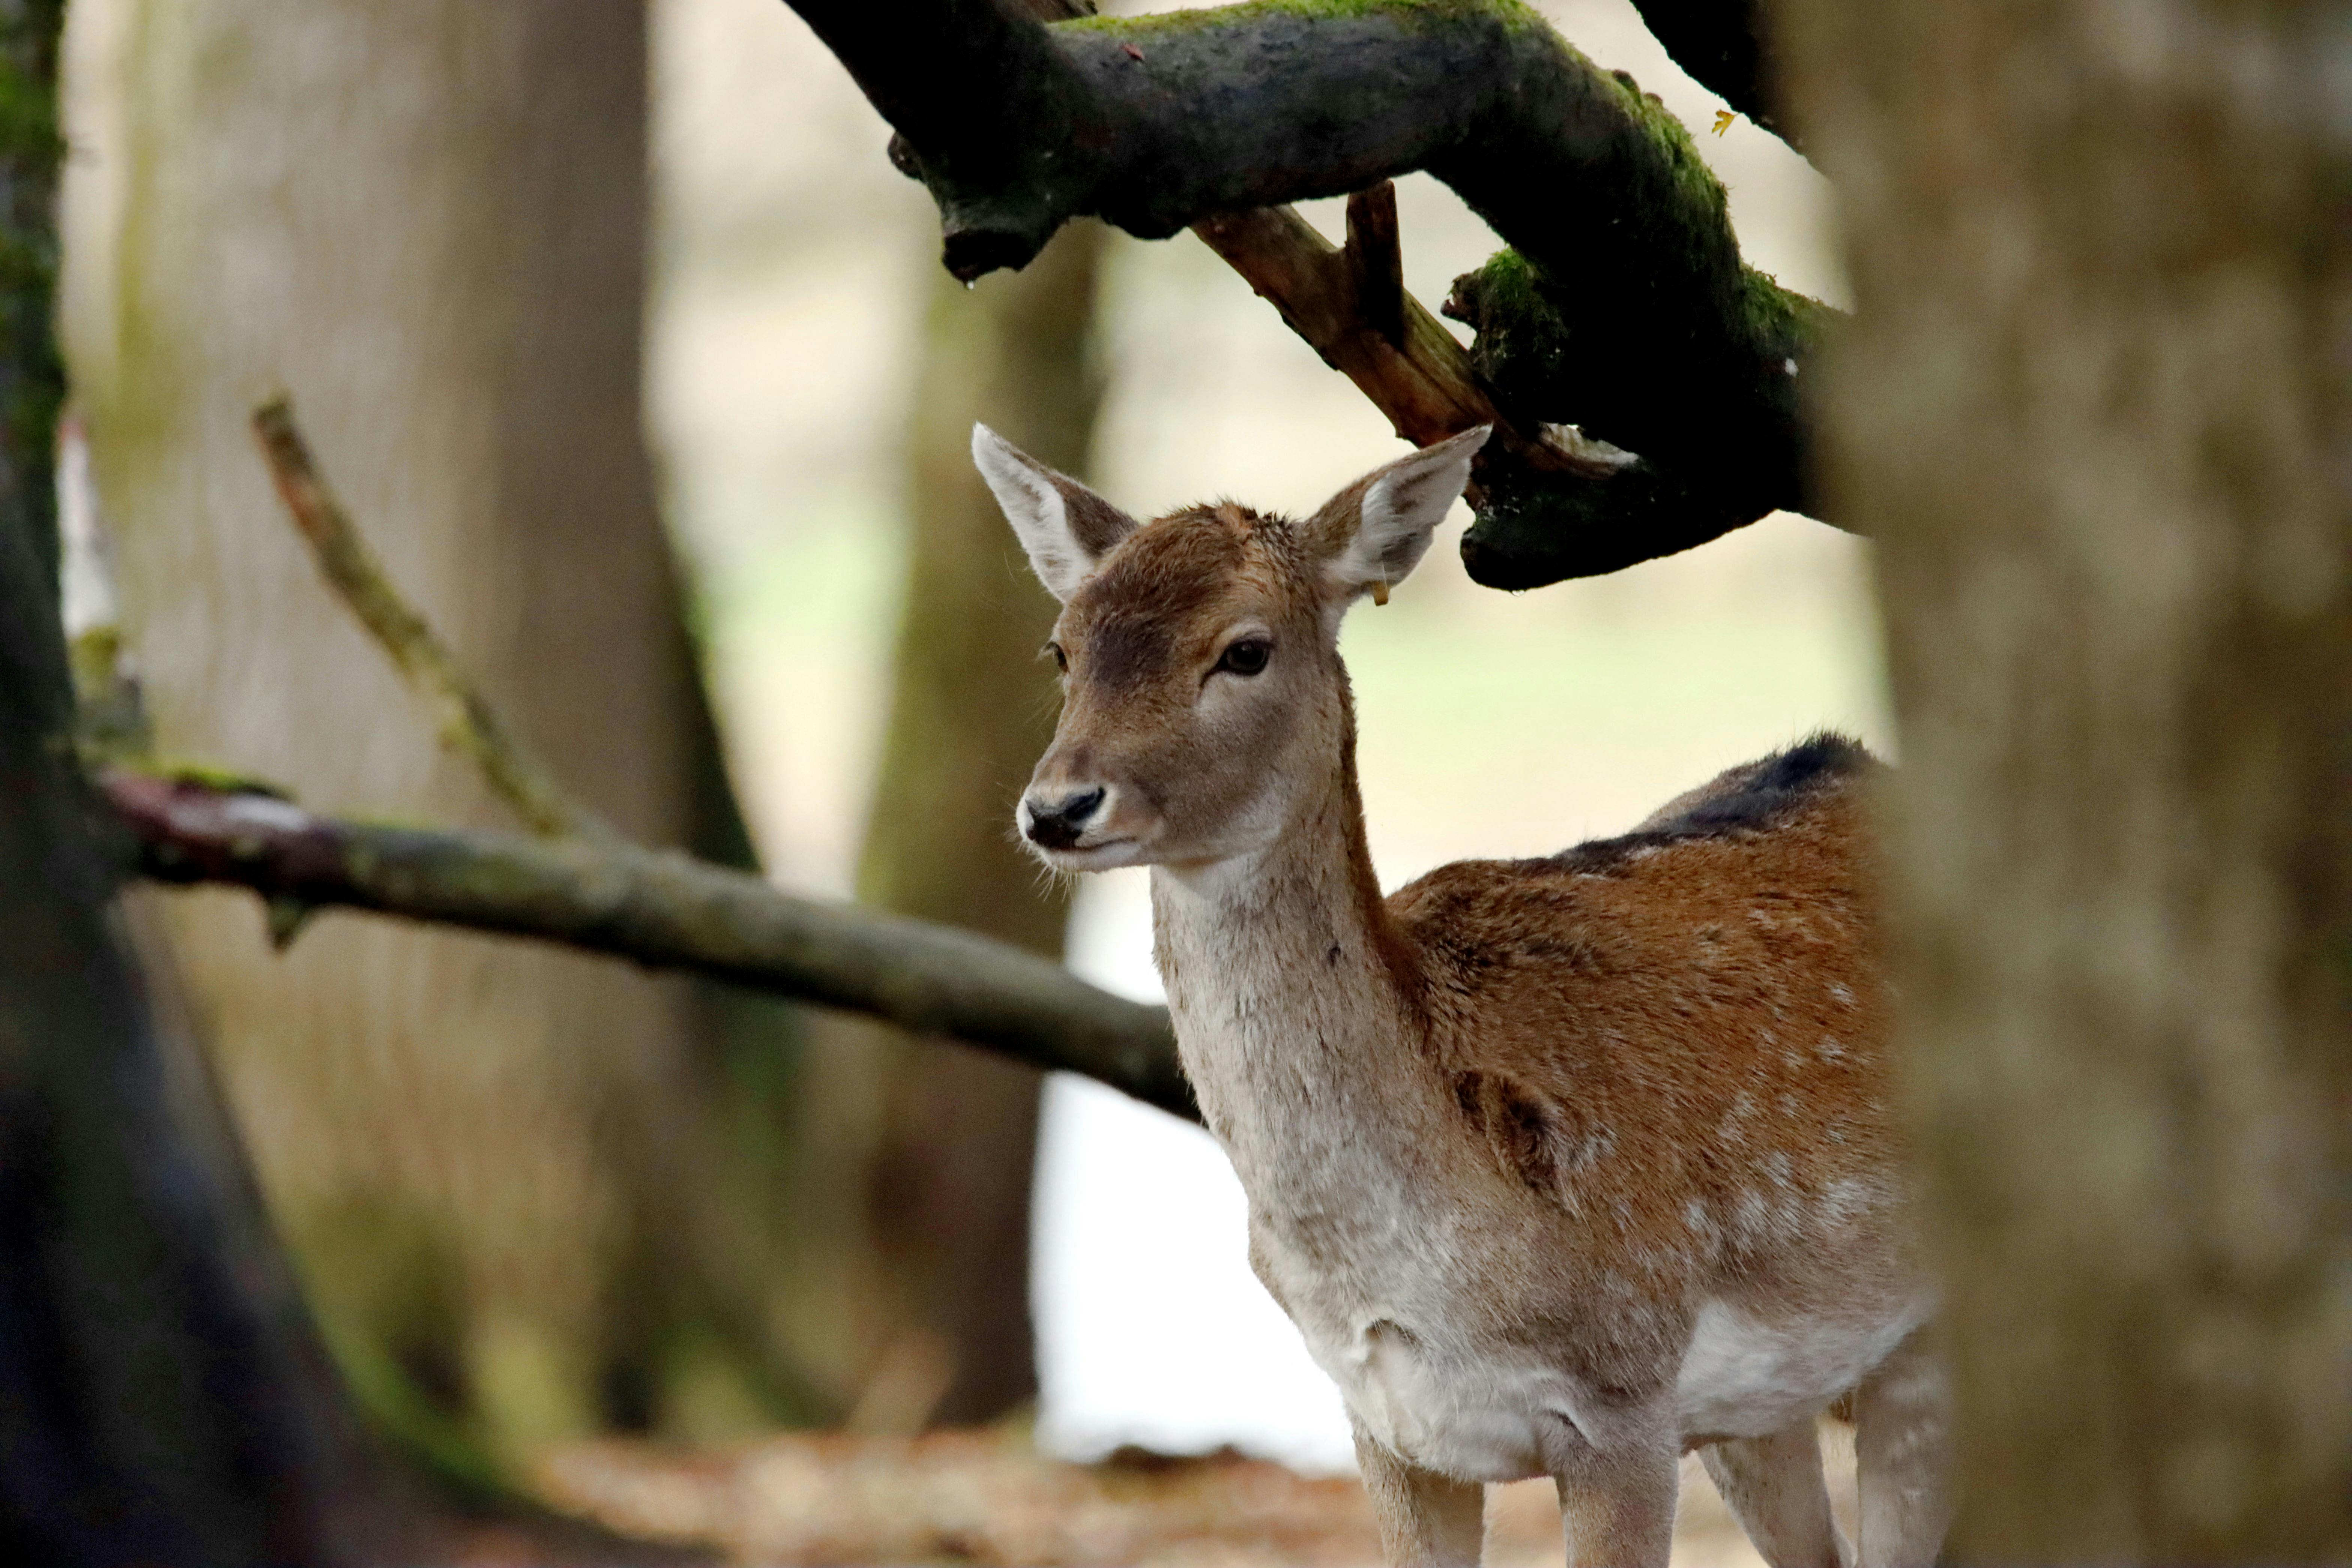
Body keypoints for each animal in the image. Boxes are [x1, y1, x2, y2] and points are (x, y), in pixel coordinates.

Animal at [974, 422, 1951, 1568]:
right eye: (1061, 648)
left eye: (1244, 649)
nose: (1057, 807)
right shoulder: (1386, 1425)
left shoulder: (1624, 1396)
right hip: (1764, 1407)